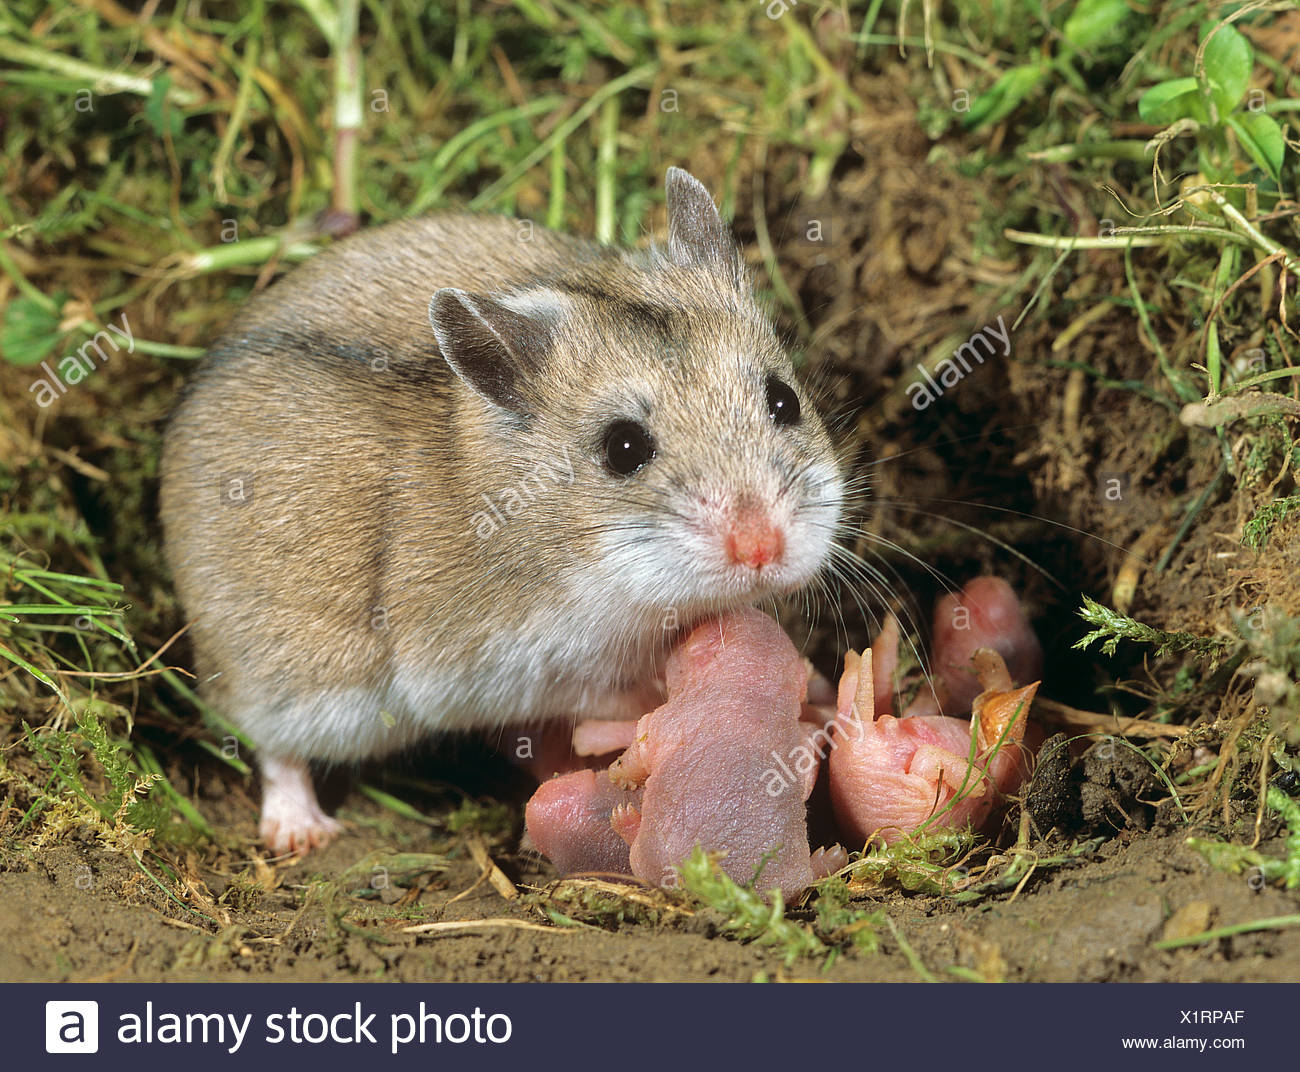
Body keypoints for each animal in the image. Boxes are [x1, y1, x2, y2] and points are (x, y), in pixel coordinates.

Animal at [159, 168, 845, 853]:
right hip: (278, 683)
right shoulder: (505, 664)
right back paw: (301, 832)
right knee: (275, 752)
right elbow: (613, 697)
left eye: (784, 401)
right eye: (622, 448)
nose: (762, 549)